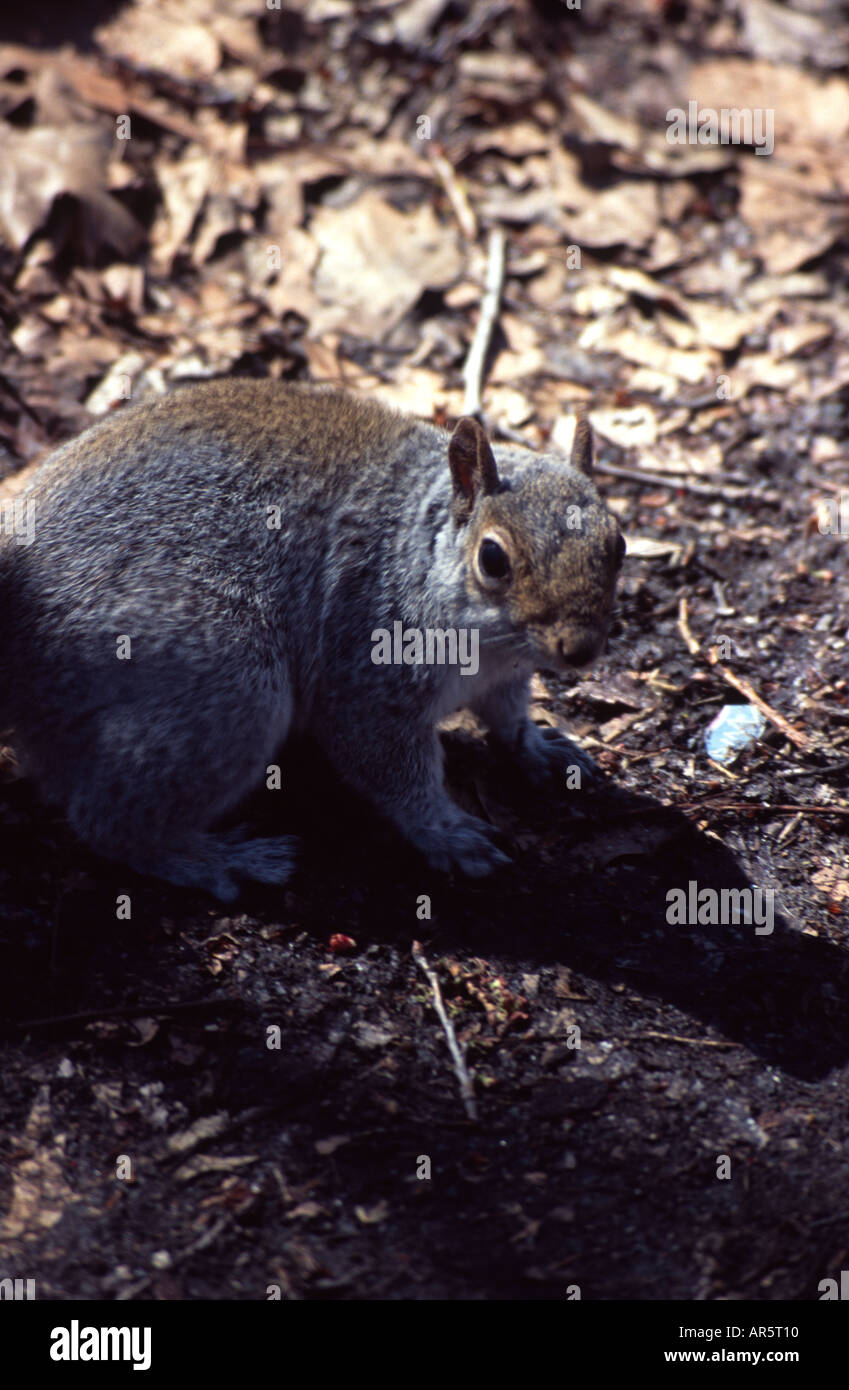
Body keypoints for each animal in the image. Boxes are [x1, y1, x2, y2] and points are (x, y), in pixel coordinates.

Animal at [0, 380, 624, 901]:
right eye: (493, 558)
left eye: (618, 542)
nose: (580, 648)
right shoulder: (367, 664)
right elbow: (384, 760)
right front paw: (444, 830)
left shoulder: (504, 677)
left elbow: (508, 716)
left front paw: (540, 747)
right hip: (227, 685)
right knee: (106, 822)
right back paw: (215, 860)